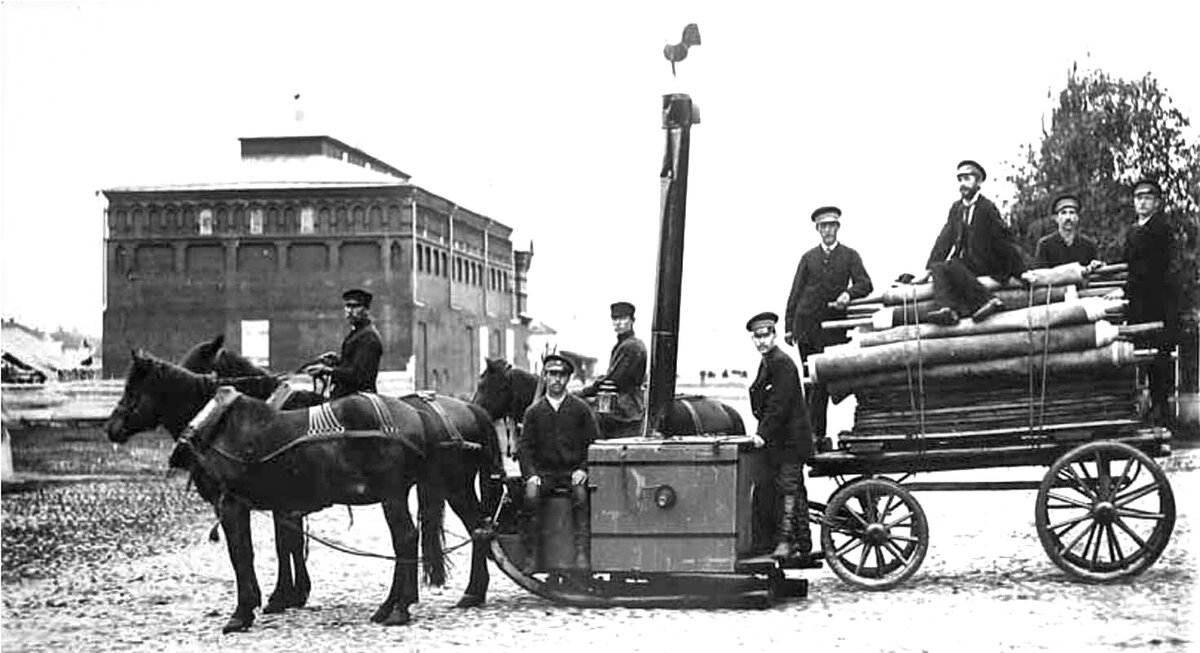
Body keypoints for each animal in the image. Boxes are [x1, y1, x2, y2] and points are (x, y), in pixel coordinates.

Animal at [110, 352, 504, 633]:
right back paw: (431, 599)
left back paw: (404, 607)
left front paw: (248, 609)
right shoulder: (283, 505)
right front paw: (284, 595)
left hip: (407, 492)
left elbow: (246, 555)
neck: (221, 425)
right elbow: (285, 545)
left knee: (411, 538)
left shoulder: (233, 504)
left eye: (132, 390)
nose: (111, 426)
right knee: (468, 530)